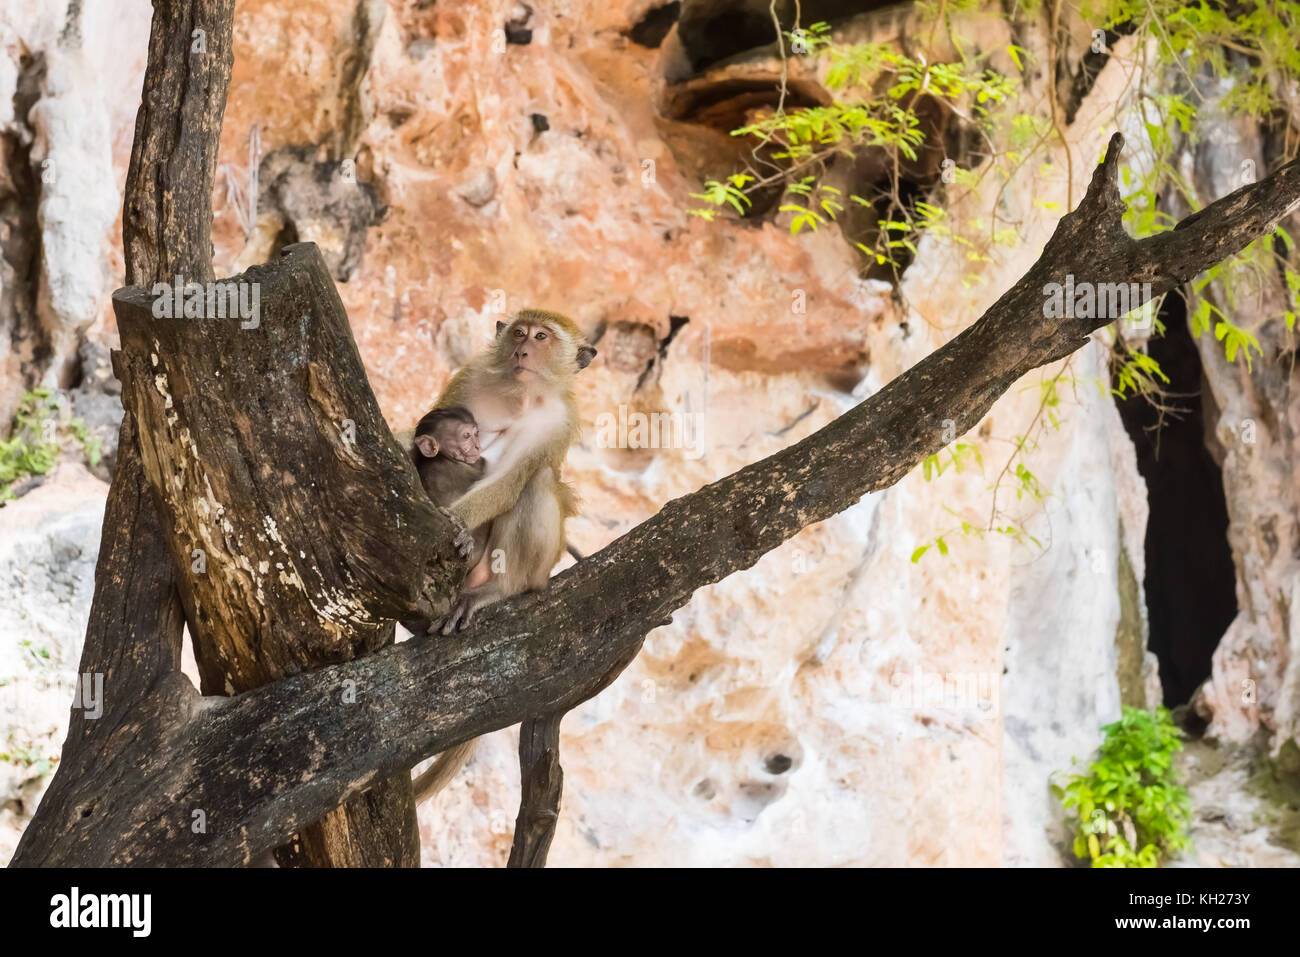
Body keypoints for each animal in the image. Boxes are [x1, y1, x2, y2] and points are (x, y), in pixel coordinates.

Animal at [411, 308, 596, 805]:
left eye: (542, 337)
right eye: (519, 332)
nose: (523, 350)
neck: (521, 395)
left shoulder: (555, 420)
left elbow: (512, 476)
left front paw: (456, 521)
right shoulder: (472, 378)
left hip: (526, 566)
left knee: (537, 481)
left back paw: (499, 589)